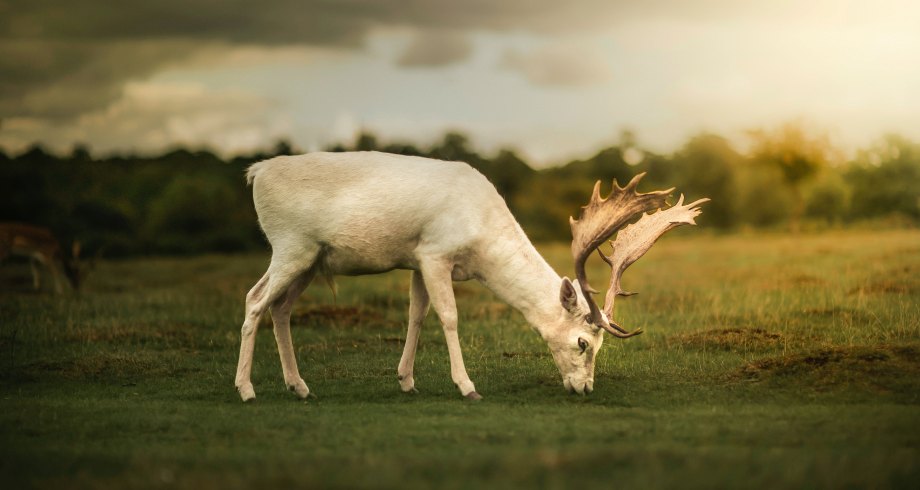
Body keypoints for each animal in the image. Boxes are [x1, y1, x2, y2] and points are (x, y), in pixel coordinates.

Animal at [235, 151, 707, 401]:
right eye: (582, 343)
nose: (585, 388)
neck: (481, 242)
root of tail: (256, 173)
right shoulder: (435, 253)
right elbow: (448, 317)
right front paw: (467, 386)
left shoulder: (418, 261)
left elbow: (416, 315)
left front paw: (406, 381)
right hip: (290, 245)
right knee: (255, 300)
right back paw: (247, 389)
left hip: (311, 260)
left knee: (280, 308)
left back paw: (299, 387)